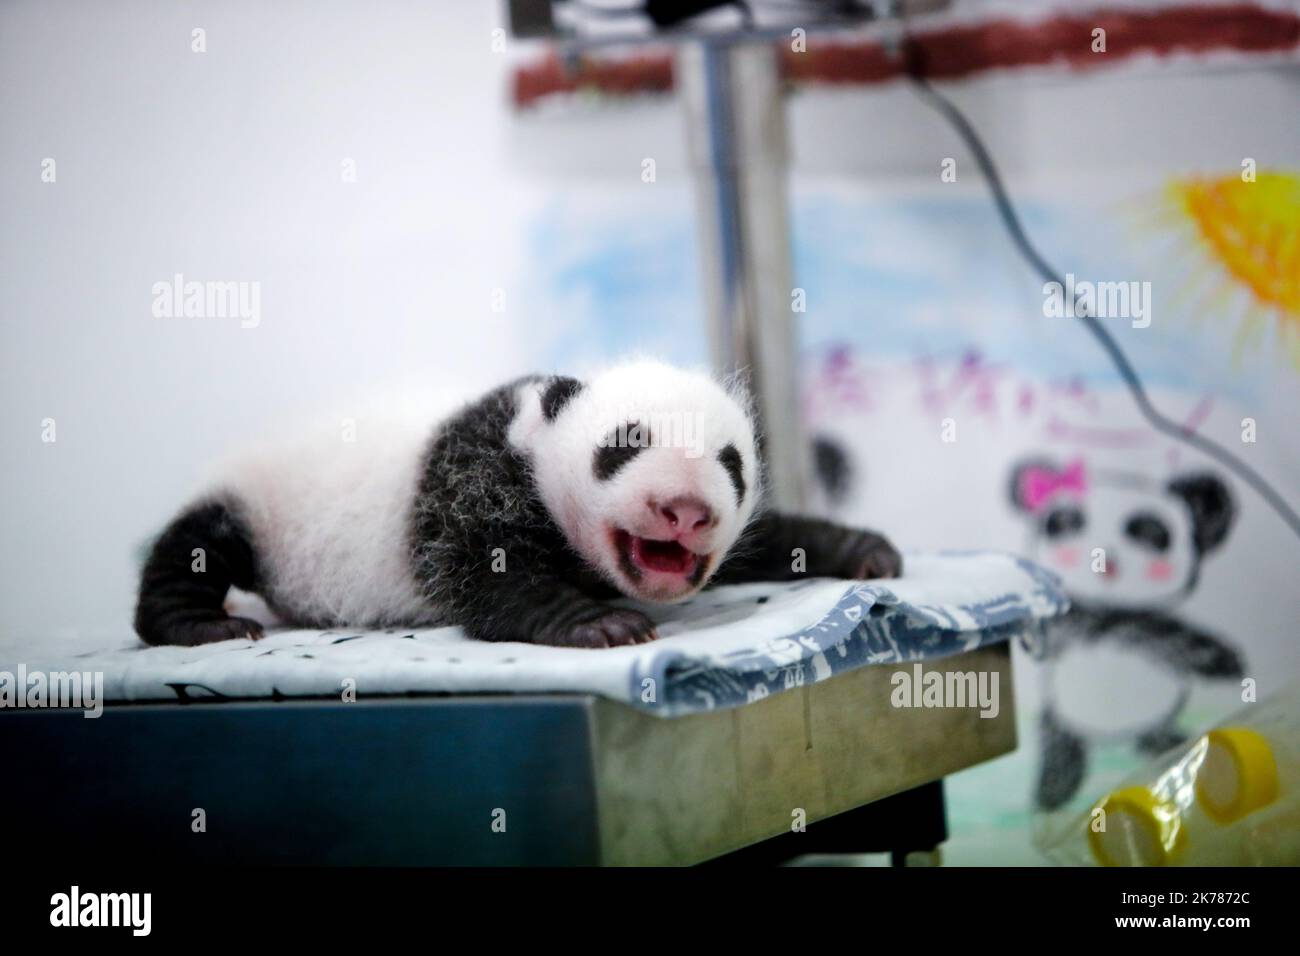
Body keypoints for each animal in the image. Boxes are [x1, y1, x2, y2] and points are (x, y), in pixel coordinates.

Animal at [135, 361, 902, 649]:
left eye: (732, 465)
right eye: (625, 443)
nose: (686, 511)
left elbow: (771, 539)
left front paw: (863, 551)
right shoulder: (473, 474)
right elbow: (487, 569)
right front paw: (602, 625)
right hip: (258, 501)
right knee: (197, 544)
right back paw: (201, 623)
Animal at [1007, 458, 1244, 810]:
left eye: (1148, 531)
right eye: (1065, 522)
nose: (1107, 563)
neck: (1110, 617)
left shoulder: (1150, 626)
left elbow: (1183, 640)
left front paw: (1229, 663)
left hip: (1157, 718)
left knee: (1159, 738)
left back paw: (1181, 749)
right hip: (1062, 719)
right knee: (1059, 743)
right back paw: (1055, 787)